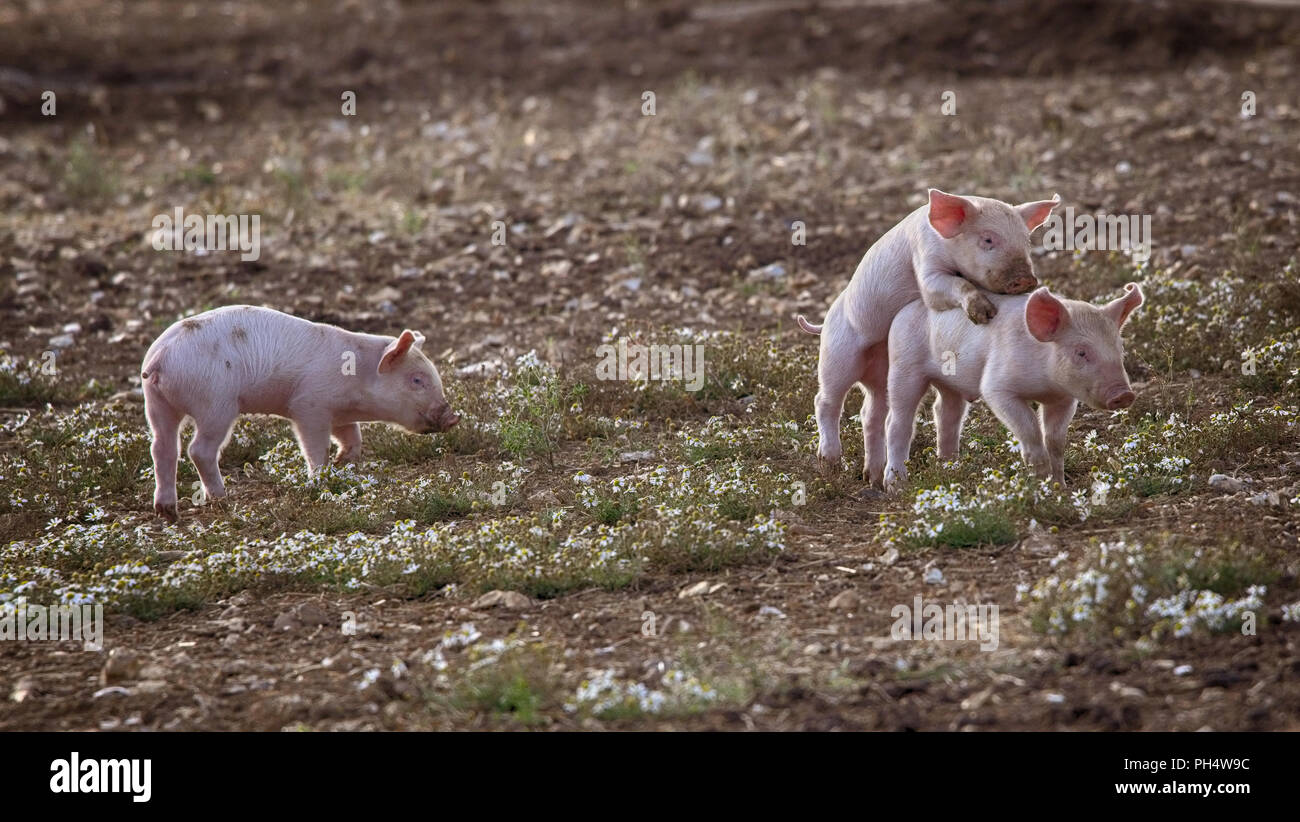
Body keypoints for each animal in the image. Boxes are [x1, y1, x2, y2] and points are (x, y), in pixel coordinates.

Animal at [141, 305, 459, 520]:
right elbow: (315, 447)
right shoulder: (309, 406)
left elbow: (352, 437)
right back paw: (222, 500)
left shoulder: (339, 413)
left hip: (157, 404)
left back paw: (167, 511)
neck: (357, 376)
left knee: (162, 448)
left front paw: (344, 462)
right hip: (216, 404)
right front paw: (321, 477)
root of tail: (159, 359)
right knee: (199, 450)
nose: (452, 416)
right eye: (416, 380)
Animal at [796, 189, 1061, 485]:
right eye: (988, 239)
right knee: (826, 401)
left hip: (883, 375)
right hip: (838, 354)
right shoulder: (926, 262)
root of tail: (825, 323)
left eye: (1026, 240)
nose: (1027, 280)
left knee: (871, 413)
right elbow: (946, 286)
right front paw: (984, 313)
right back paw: (832, 464)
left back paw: (872, 477)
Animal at [881, 282, 1144, 490]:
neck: (1045, 384)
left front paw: (1060, 487)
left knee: (945, 414)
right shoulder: (997, 387)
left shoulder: (1064, 398)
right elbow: (1030, 429)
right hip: (903, 365)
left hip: (950, 384)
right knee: (897, 422)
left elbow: (1056, 442)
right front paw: (1040, 481)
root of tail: (902, 312)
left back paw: (949, 469)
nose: (1124, 394)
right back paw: (895, 485)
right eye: (1081, 352)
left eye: (1119, 347)